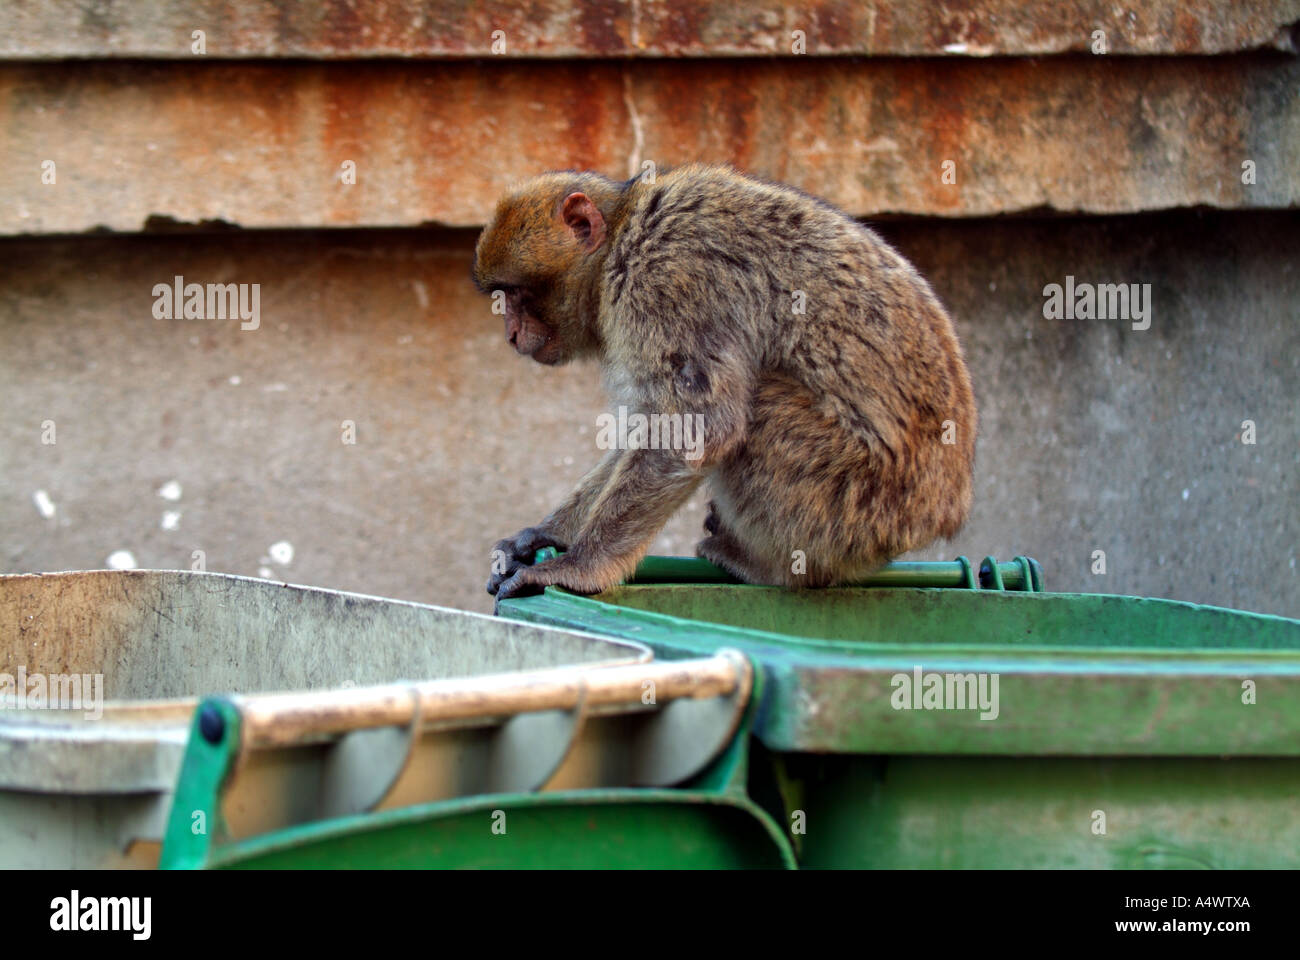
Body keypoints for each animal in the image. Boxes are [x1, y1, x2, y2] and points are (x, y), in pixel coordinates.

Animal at [473, 163, 975, 609]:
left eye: (516, 294)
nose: (511, 334)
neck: (623, 238)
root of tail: (946, 510)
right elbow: (651, 423)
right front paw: (545, 535)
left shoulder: (668, 279)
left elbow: (696, 430)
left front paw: (578, 567)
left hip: (859, 500)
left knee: (763, 405)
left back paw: (771, 567)